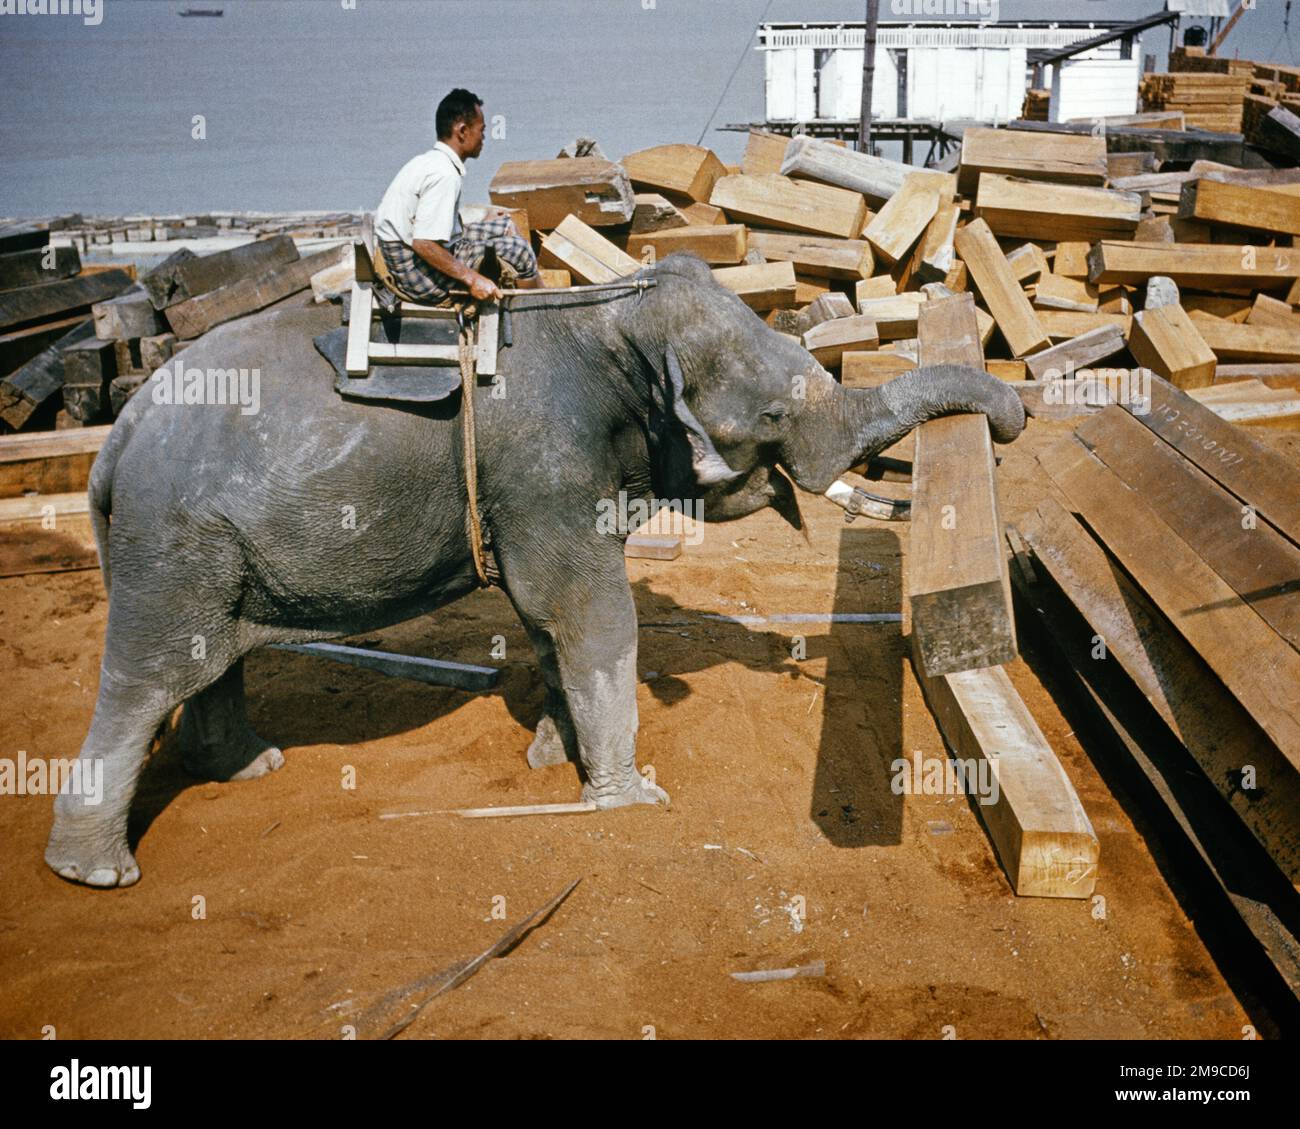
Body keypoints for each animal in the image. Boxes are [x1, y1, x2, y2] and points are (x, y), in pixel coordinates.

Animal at [44, 252, 1025, 887]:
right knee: (146, 681)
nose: (1008, 422)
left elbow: (546, 618)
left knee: (211, 661)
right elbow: (590, 613)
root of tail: (114, 440)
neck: (603, 312)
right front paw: (633, 800)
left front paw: (555, 758)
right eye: (777, 412)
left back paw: (250, 769)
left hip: (207, 549)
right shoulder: (546, 467)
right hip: (174, 545)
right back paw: (97, 872)